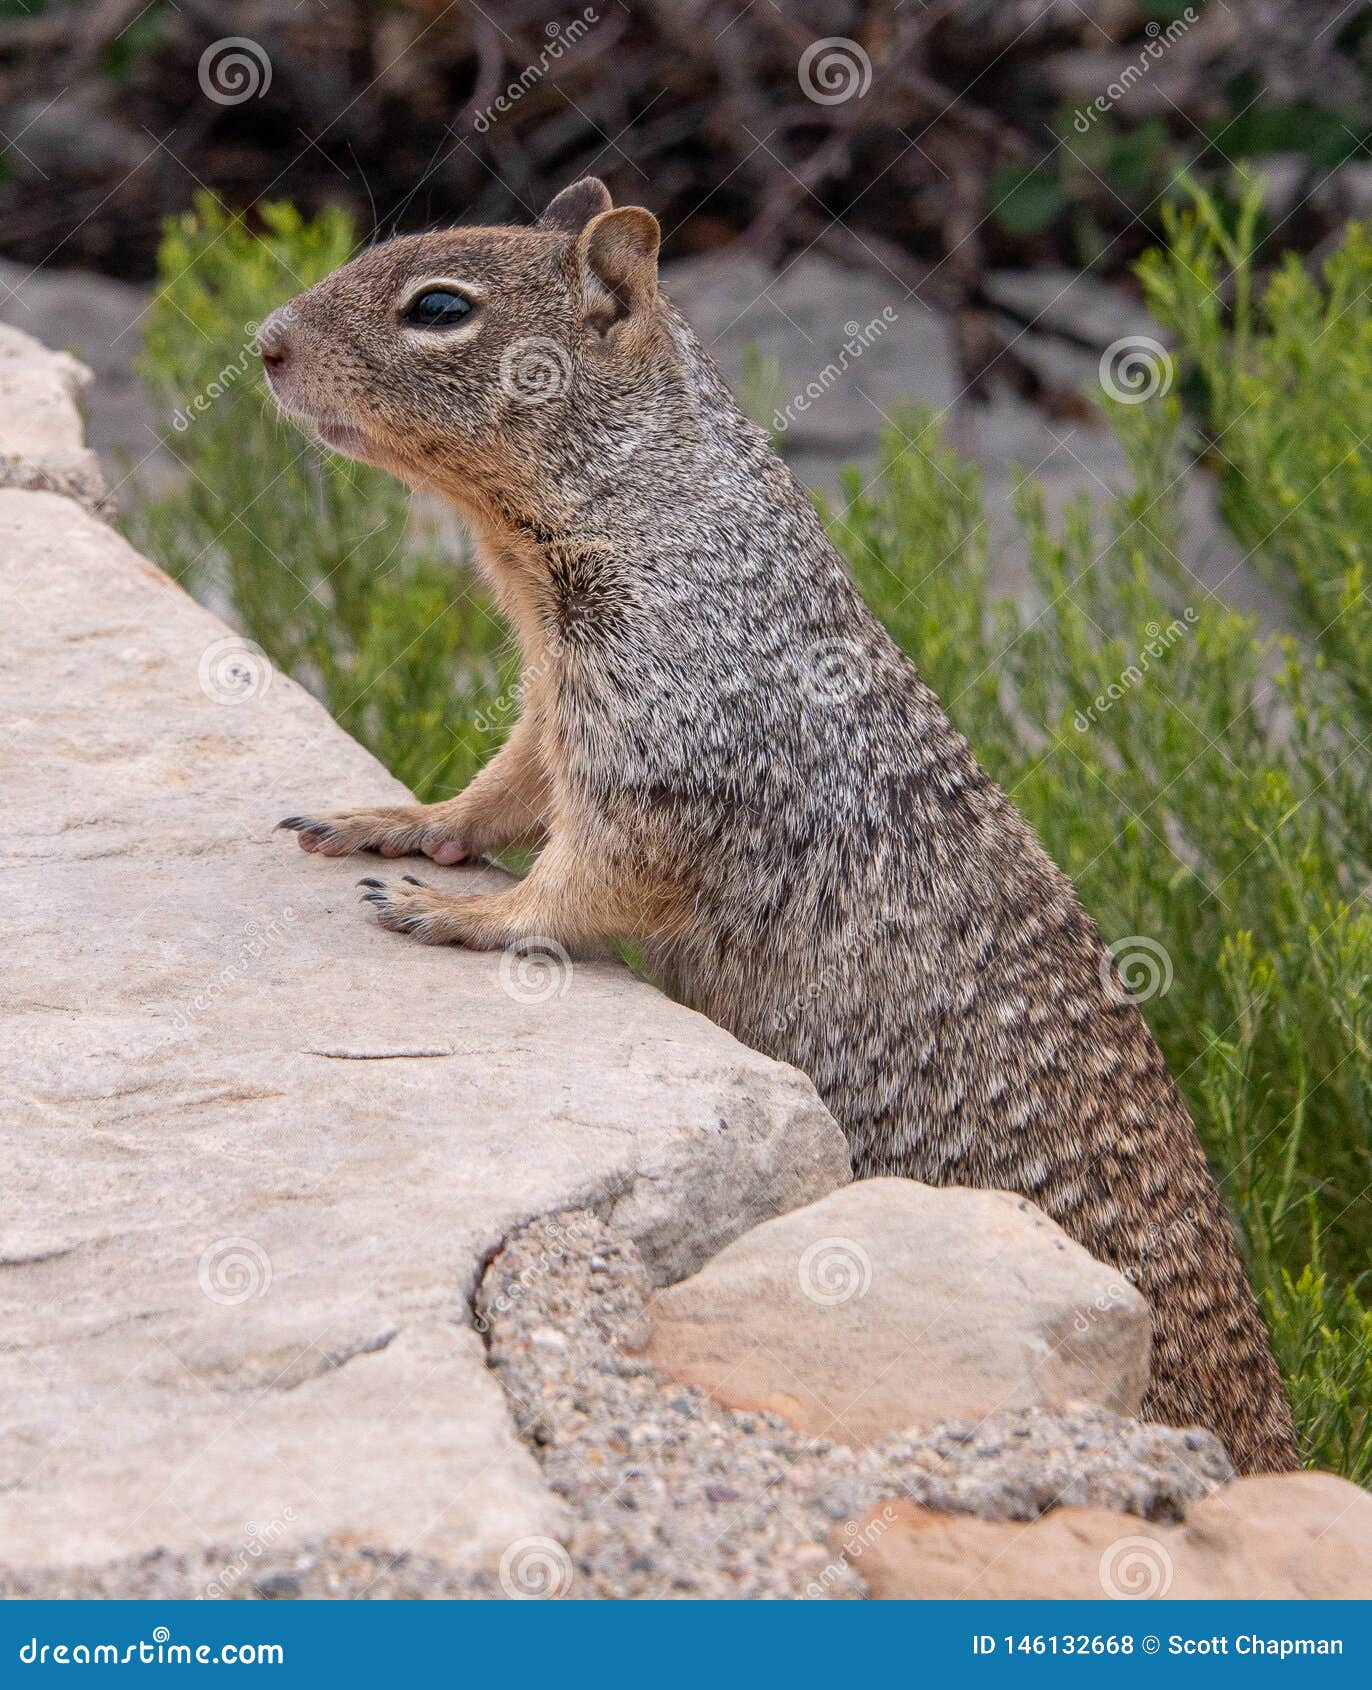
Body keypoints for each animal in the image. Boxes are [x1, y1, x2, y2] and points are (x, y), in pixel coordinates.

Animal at [261, 177, 1299, 1475]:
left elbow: (581, 881)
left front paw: (460, 915)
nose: (264, 345)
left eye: (439, 307)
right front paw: (396, 822)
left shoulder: (662, 747)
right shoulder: (556, 708)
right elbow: (501, 791)